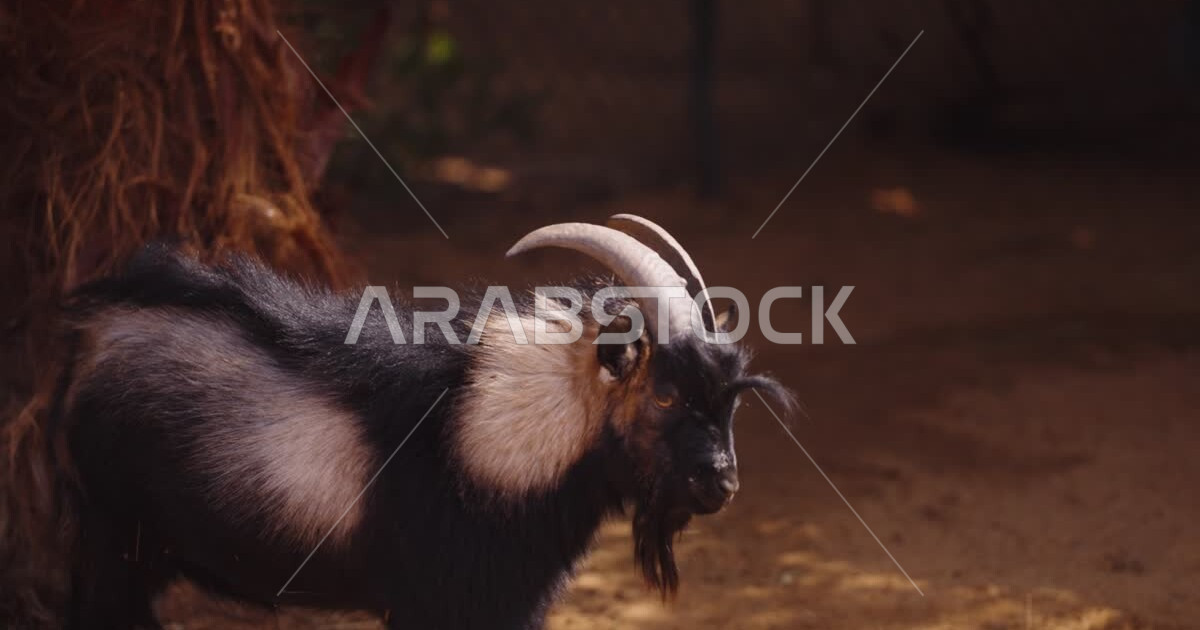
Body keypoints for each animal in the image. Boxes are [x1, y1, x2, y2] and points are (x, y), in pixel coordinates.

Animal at [58, 215, 791, 629]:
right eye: (664, 397)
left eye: (730, 400)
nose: (722, 484)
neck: (485, 437)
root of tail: (97, 332)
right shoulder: (443, 600)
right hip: (111, 537)